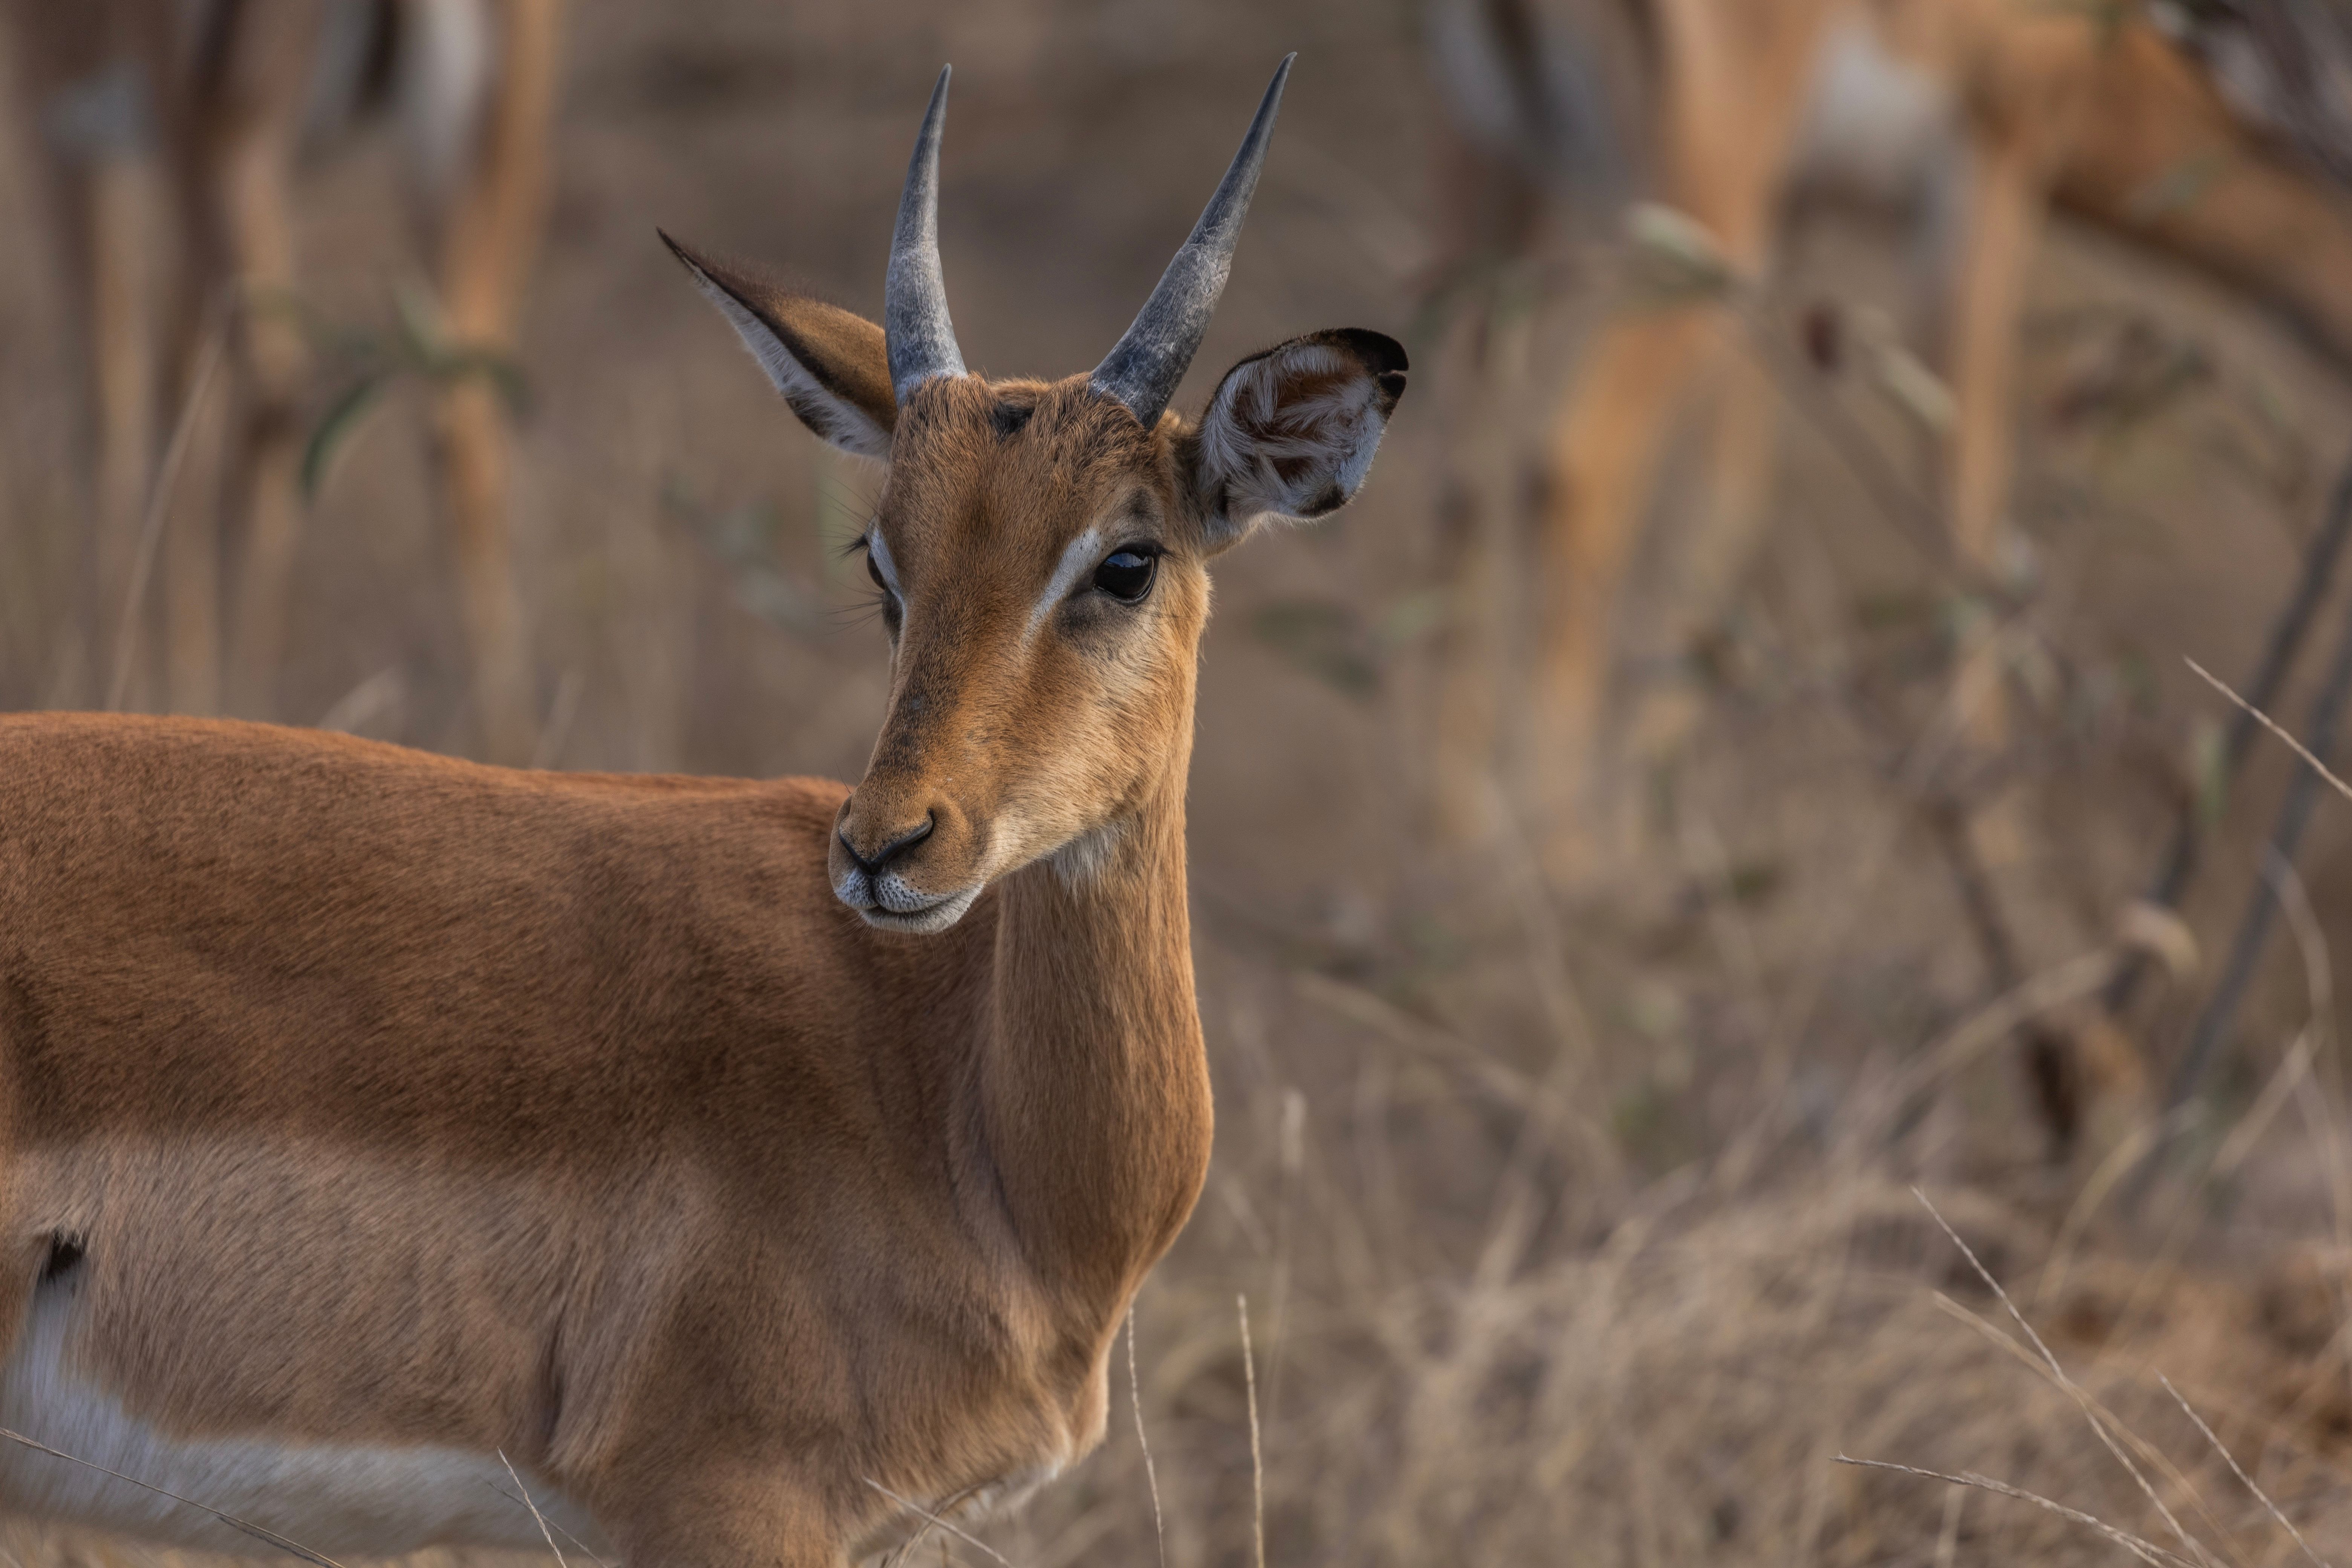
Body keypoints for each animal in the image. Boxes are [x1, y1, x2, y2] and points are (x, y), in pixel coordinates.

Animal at [5, 0, 562, 760]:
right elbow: (173, 408)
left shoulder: (62, 125)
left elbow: (110, 407)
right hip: (477, 178)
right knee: (463, 433)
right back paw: (508, 753)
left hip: (228, 154)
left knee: (270, 413)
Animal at [1424, 0, 2352, 872]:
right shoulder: (1990, 170)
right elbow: (1965, 492)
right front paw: (2003, 850)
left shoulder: (1792, 216)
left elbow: (1731, 496)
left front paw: (1643, 823)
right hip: (1695, 207)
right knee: (1574, 464)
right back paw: (1563, 861)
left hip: (1500, 172)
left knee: (1458, 468)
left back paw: (1468, 836)